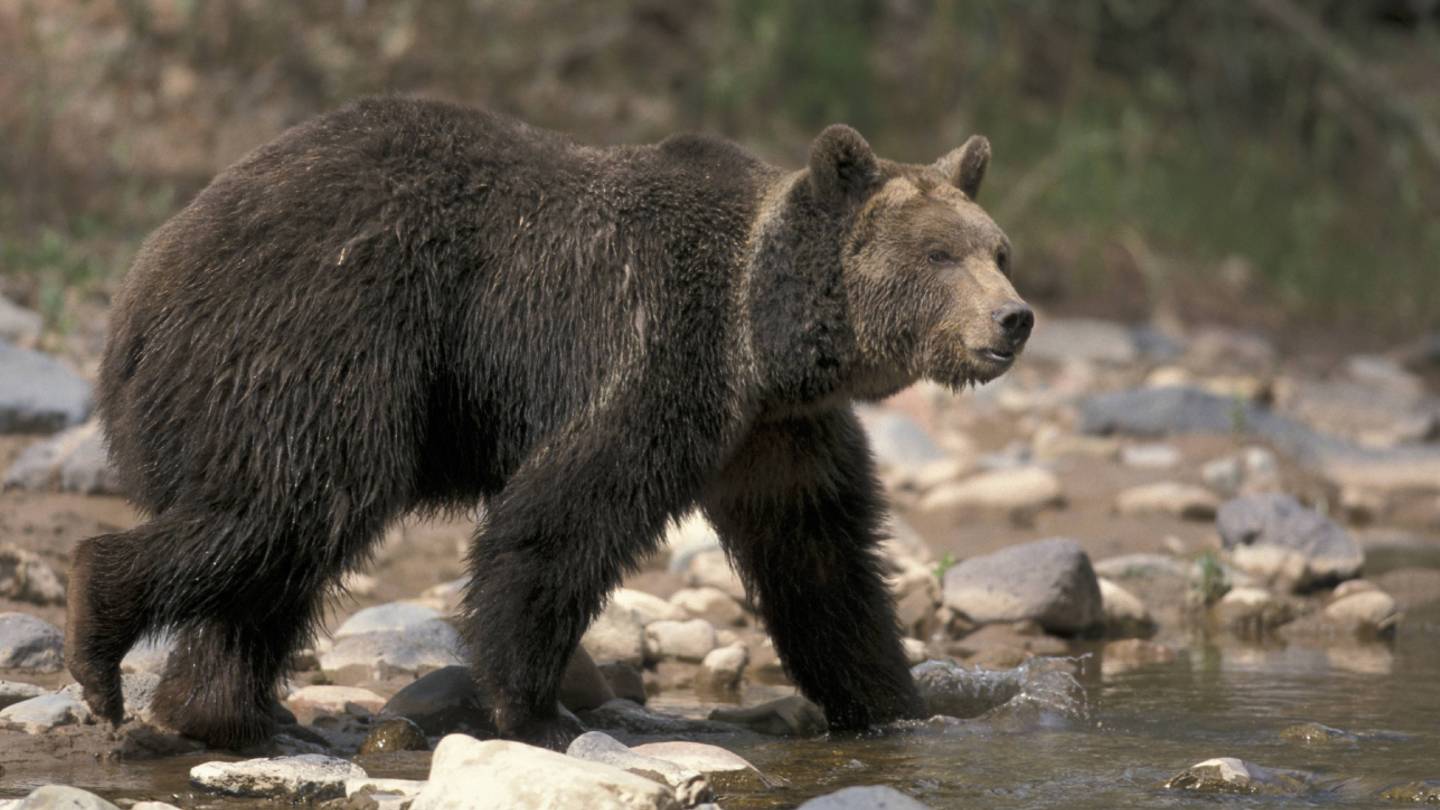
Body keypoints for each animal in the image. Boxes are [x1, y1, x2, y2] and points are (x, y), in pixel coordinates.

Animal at [65, 96, 1033, 750]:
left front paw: (896, 705)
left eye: (998, 250)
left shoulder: (778, 434)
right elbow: (557, 522)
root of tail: (138, 295)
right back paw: (101, 629)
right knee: (290, 505)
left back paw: (223, 711)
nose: (1014, 320)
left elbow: (823, 559)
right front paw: (533, 711)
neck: (766, 336)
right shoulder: (657, 351)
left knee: (272, 560)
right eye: (939, 254)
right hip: (322, 332)